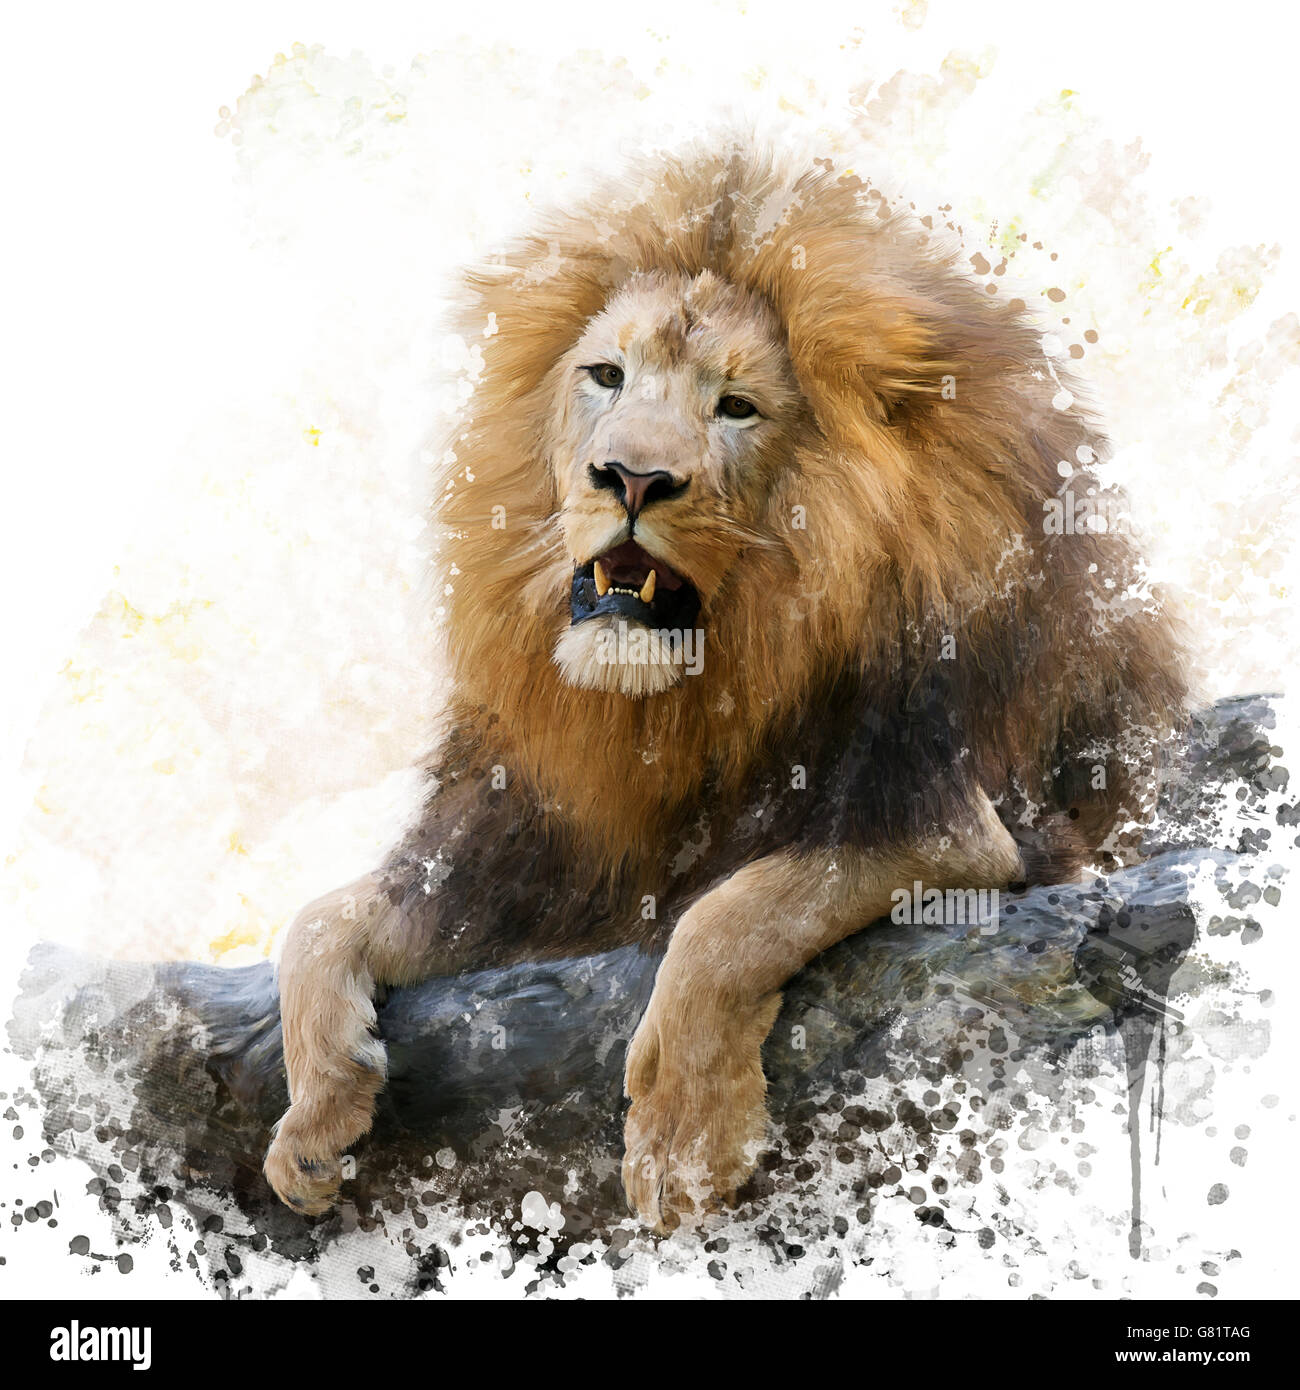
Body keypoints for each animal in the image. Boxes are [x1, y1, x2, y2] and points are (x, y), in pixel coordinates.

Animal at [263, 140, 1186, 1230]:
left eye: (736, 406)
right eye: (606, 375)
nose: (629, 478)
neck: (687, 700)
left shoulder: (937, 818)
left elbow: (725, 918)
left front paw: (679, 1137)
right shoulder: (525, 848)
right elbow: (320, 920)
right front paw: (312, 1117)